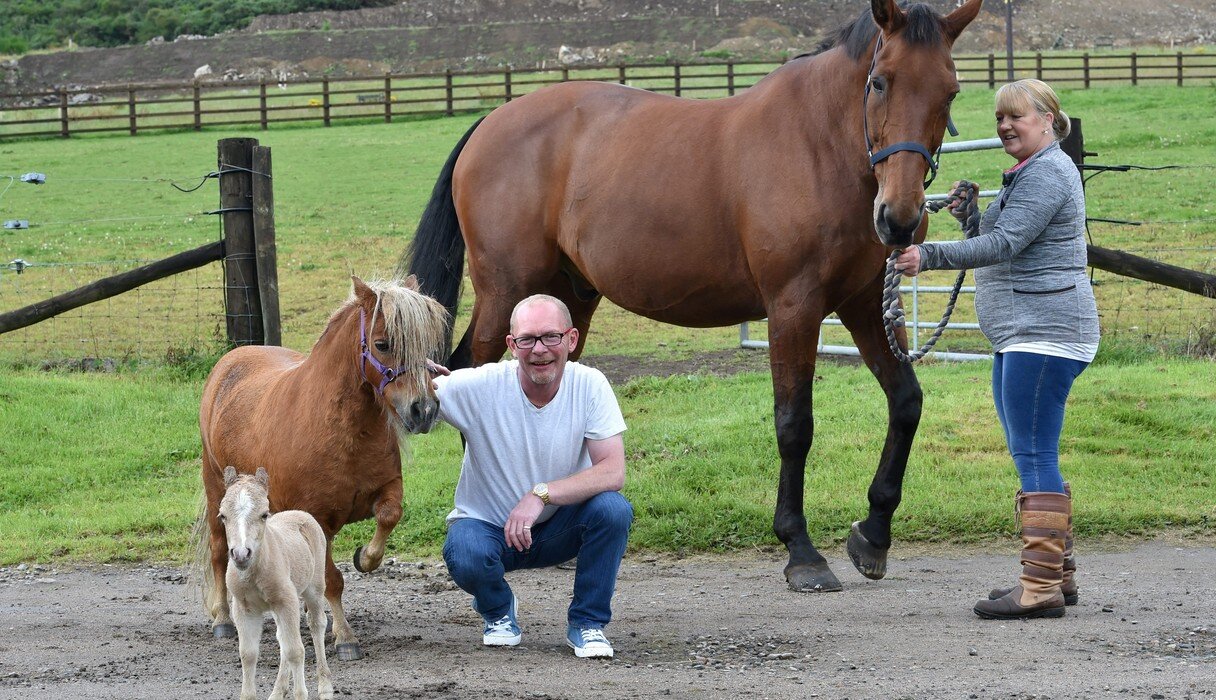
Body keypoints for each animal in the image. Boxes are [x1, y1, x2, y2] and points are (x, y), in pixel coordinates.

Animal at [197, 276, 449, 660]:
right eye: (382, 344)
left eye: (426, 345)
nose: (424, 410)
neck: (343, 428)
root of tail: (230, 360)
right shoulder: (318, 518)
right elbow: (333, 579)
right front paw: (345, 638)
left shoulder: (387, 489)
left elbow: (389, 517)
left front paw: (365, 558)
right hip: (216, 492)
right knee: (217, 551)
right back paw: (224, 620)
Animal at [218, 466, 333, 700]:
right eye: (223, 515)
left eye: (264, 514)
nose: (241, 554)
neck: (255, 573)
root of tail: (300, 513)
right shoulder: (244, 609)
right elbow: (248, 654)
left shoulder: (287, 602)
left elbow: (295, 651)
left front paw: (301, 695)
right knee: (282, 638)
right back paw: (278, 691)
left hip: (314, 589)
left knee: (317, 624)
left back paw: (325, 687)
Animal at [403, 0, 983, 592]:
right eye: (881, 82)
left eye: (950, 92)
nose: (900, 219)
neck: (819, 145)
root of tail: (492, 120)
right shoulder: (793, 308)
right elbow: (794, 424)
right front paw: (800, 550)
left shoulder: (863, 304)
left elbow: (906, 402)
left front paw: (873, 534)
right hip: (508, 290)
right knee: (470, 370)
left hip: (568, 298)